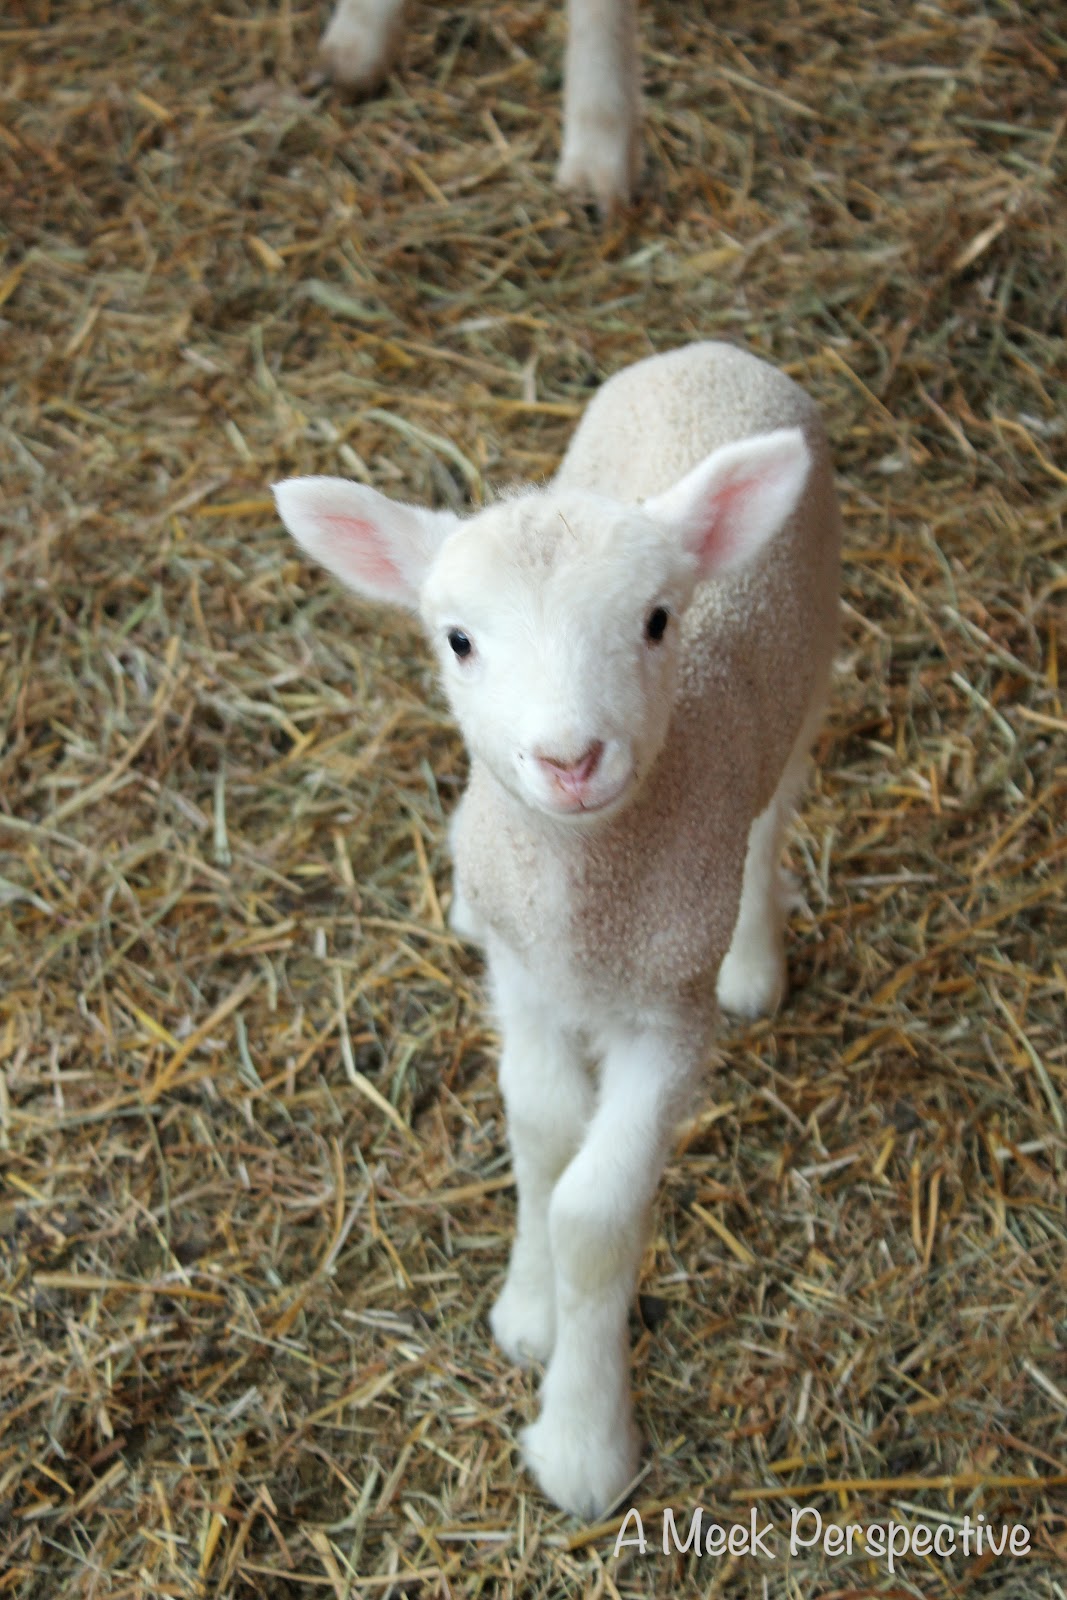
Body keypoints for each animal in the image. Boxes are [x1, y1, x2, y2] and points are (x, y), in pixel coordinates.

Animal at [272, 340, 842, 1518]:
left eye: (658, 620)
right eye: (457, 639)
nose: (569, 759)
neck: (585, 900)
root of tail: (712, 349)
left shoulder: (665, 1020)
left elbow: (591, 1212)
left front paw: (582, 1441)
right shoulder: (525, 980)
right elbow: (537, 1131)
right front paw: (526, 1313)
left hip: (812, 658)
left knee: (774, 810)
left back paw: (755, 958)